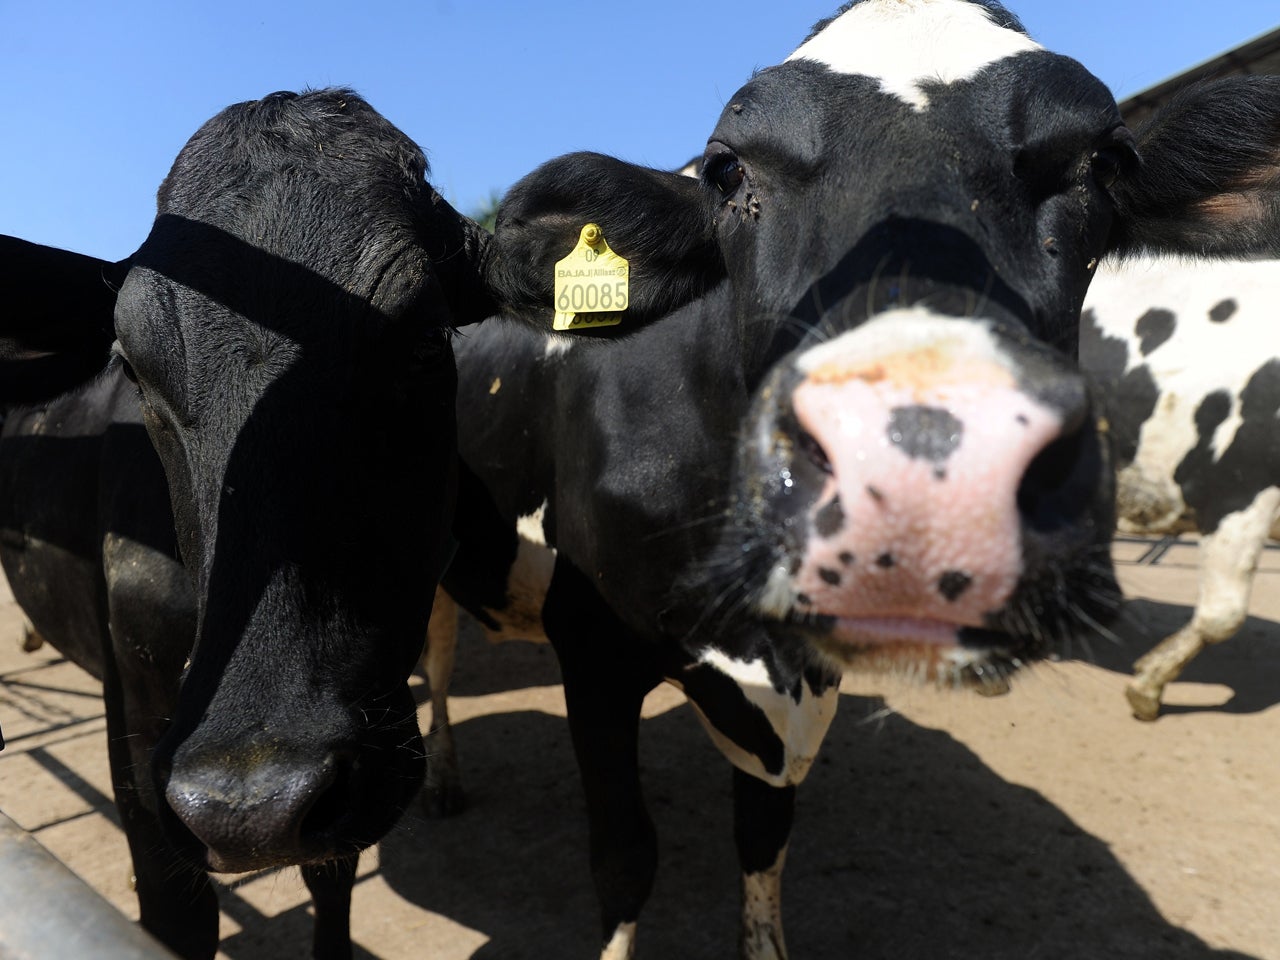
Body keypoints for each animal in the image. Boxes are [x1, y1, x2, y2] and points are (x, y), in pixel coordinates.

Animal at [0, 89, 662, 960]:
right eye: (133, 369)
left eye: (426, 340)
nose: (250, 803)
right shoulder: (145, 748)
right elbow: (180, 920)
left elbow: (332, 884)